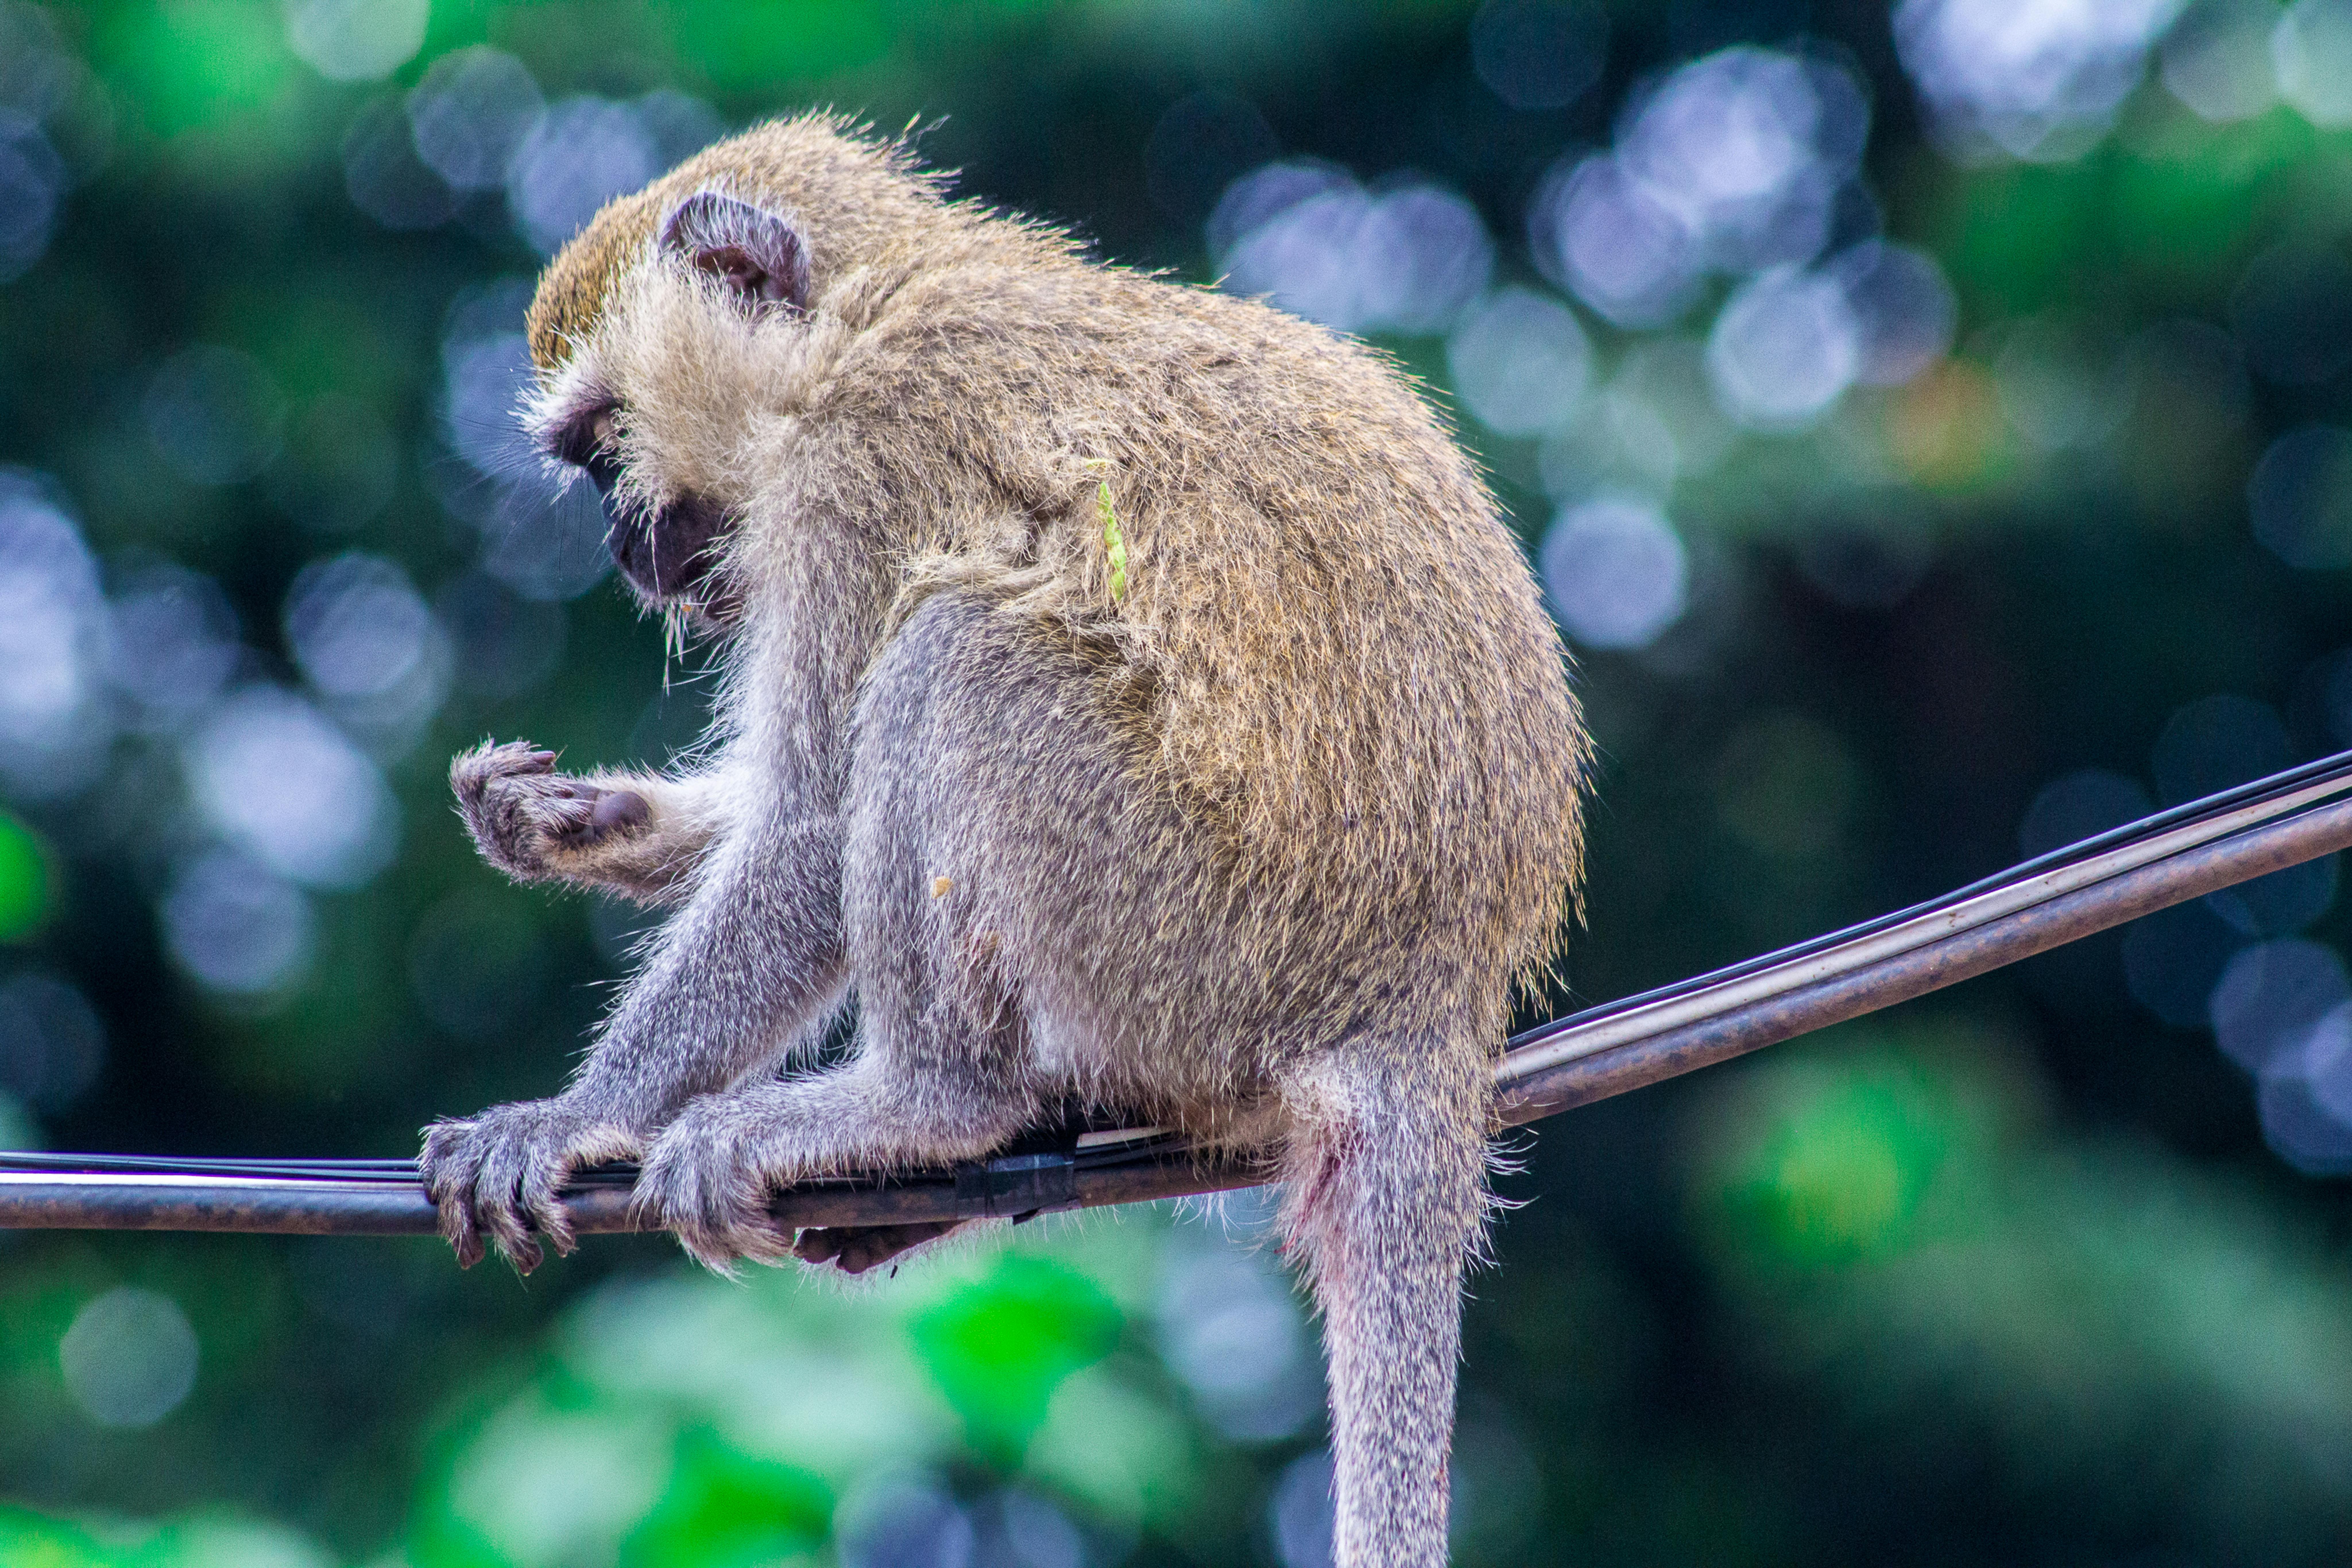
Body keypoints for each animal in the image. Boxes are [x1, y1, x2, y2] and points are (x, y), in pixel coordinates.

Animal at [421, 114, 1587, 1568]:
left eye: (597, 443)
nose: (622, 549)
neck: (861, 318)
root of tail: (1427, 1001)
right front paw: (580, 823)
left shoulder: (863, 464)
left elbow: (811, 824)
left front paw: (578, 1119)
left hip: (1191, 941)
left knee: (960, 656)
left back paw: (930, 1107)